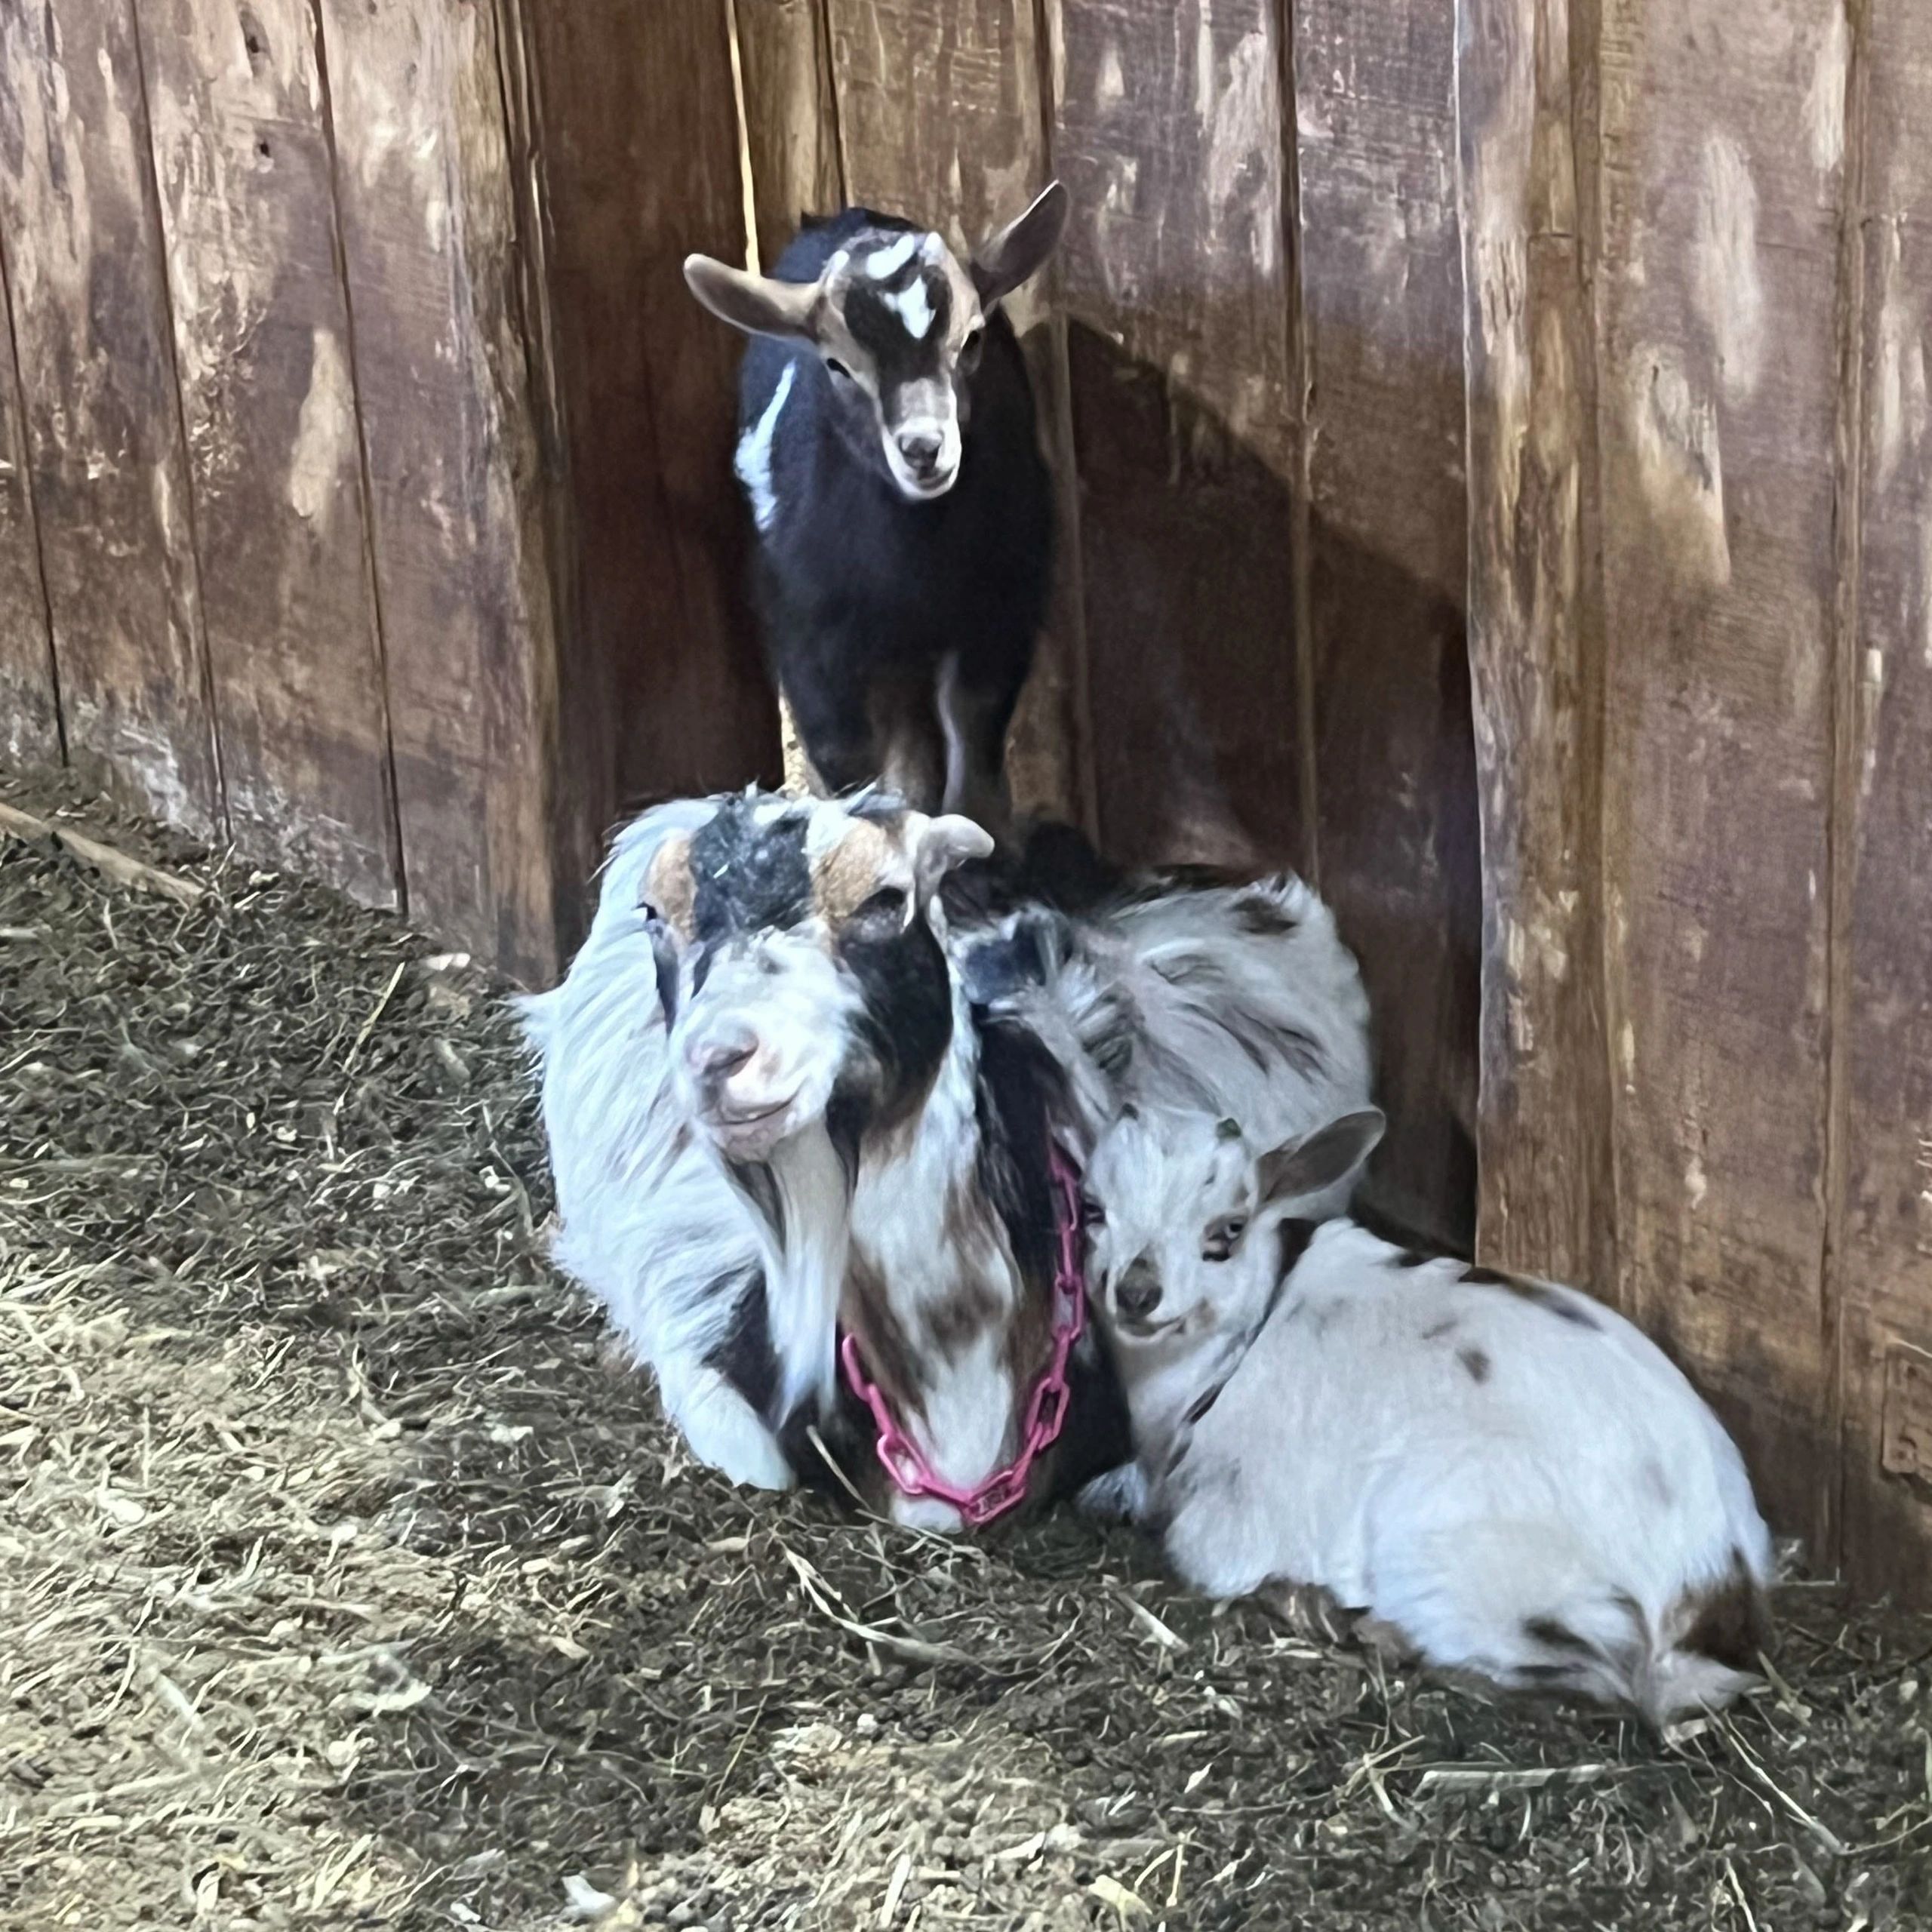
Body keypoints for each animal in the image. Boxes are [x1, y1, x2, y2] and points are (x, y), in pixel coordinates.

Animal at [684, 188, 1066, 834]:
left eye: (974, 340)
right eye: (836, 365)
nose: (924, 448)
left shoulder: (1001, 610)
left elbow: (974, 736)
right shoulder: (810, 633)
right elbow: (847, 763)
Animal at [1083, 1106, 1775, 1726]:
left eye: (1228, 1228)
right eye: (1091, 1209)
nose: (1137, 1293)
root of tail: (1706, 1588)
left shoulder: (1229, 1528)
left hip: (1470, 1562)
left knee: (1595, 1681)